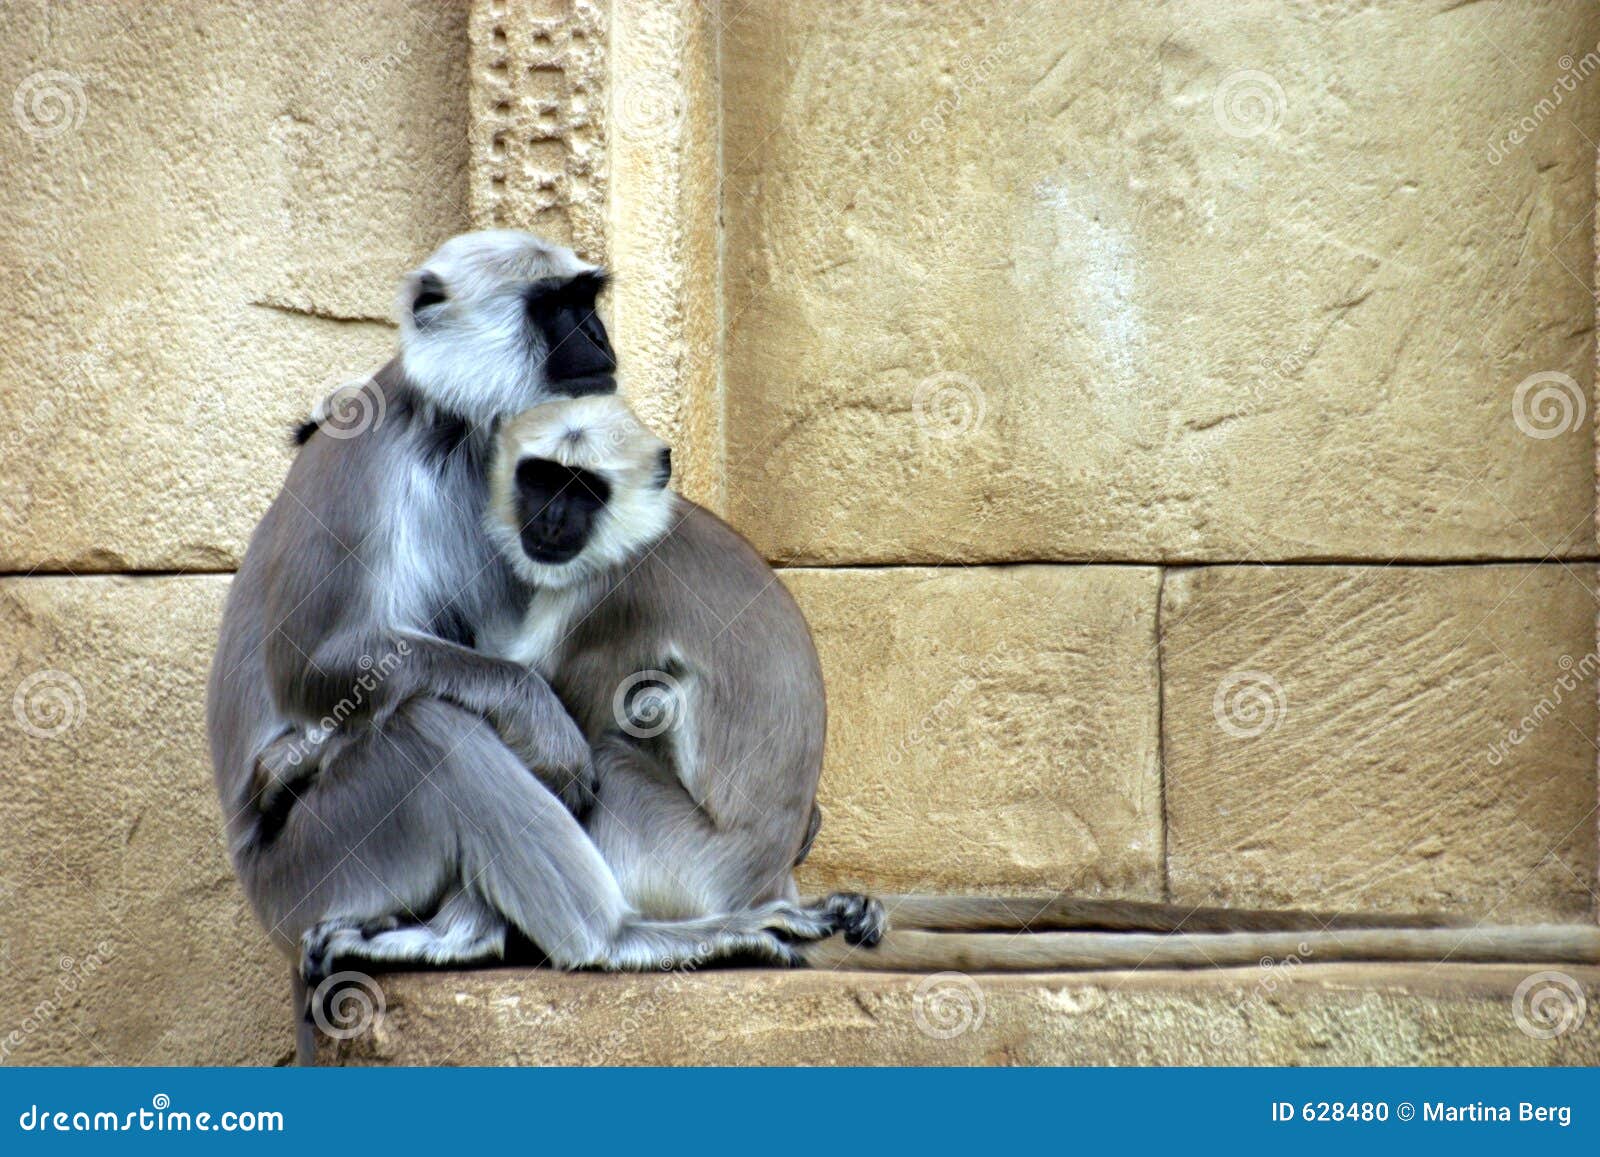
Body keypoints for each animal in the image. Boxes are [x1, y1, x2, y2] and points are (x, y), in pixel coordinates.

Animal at [207, 232, 863, 1062]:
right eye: (555, 307)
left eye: (585, 300)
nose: (597, 336)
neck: (459, 429)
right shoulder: (368, 453)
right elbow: (316, 664)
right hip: (306, 869)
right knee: (435, 727)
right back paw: (602, 938)